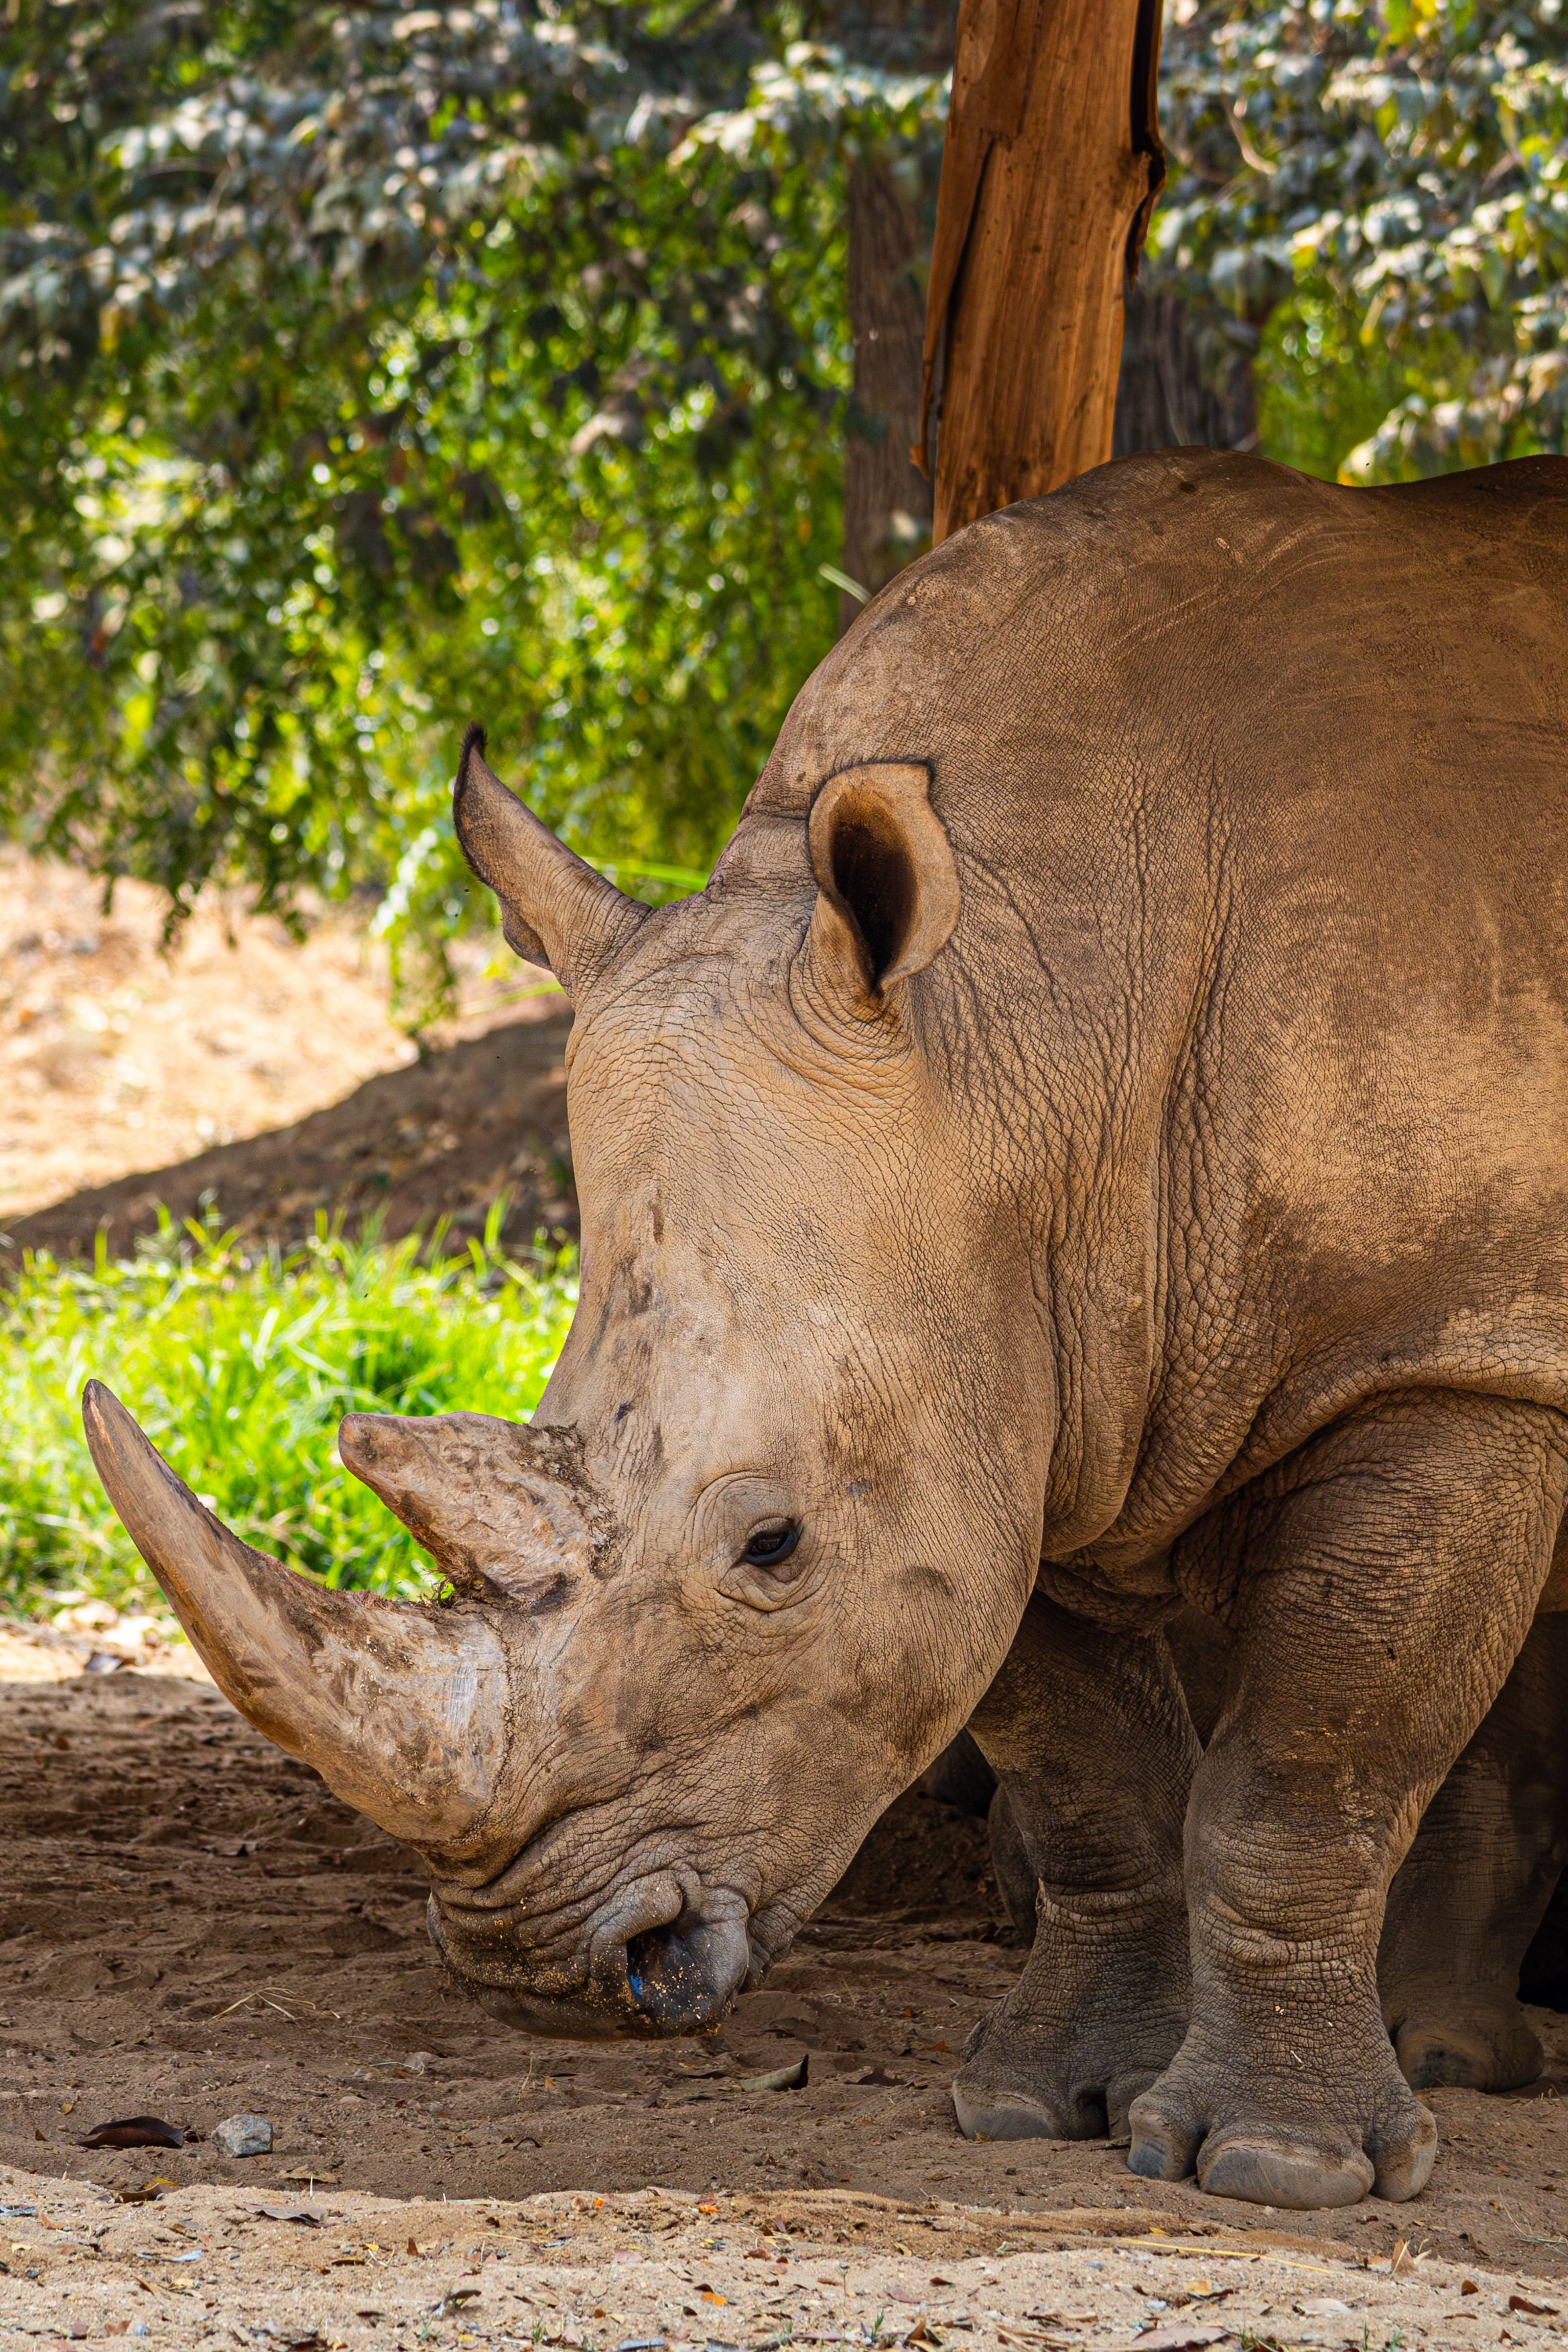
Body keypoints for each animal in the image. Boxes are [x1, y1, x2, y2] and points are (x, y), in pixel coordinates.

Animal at [86, 448, 1568, 2213]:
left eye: (771, 1546)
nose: (542, 1970)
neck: (1034, 1018)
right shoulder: (1011, 1379)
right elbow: (1089, 1767)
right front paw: (1037, 2109)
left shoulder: (1431, 1344)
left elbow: (1304, 1769)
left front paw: (1279, 2170)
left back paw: (1450, 2064)